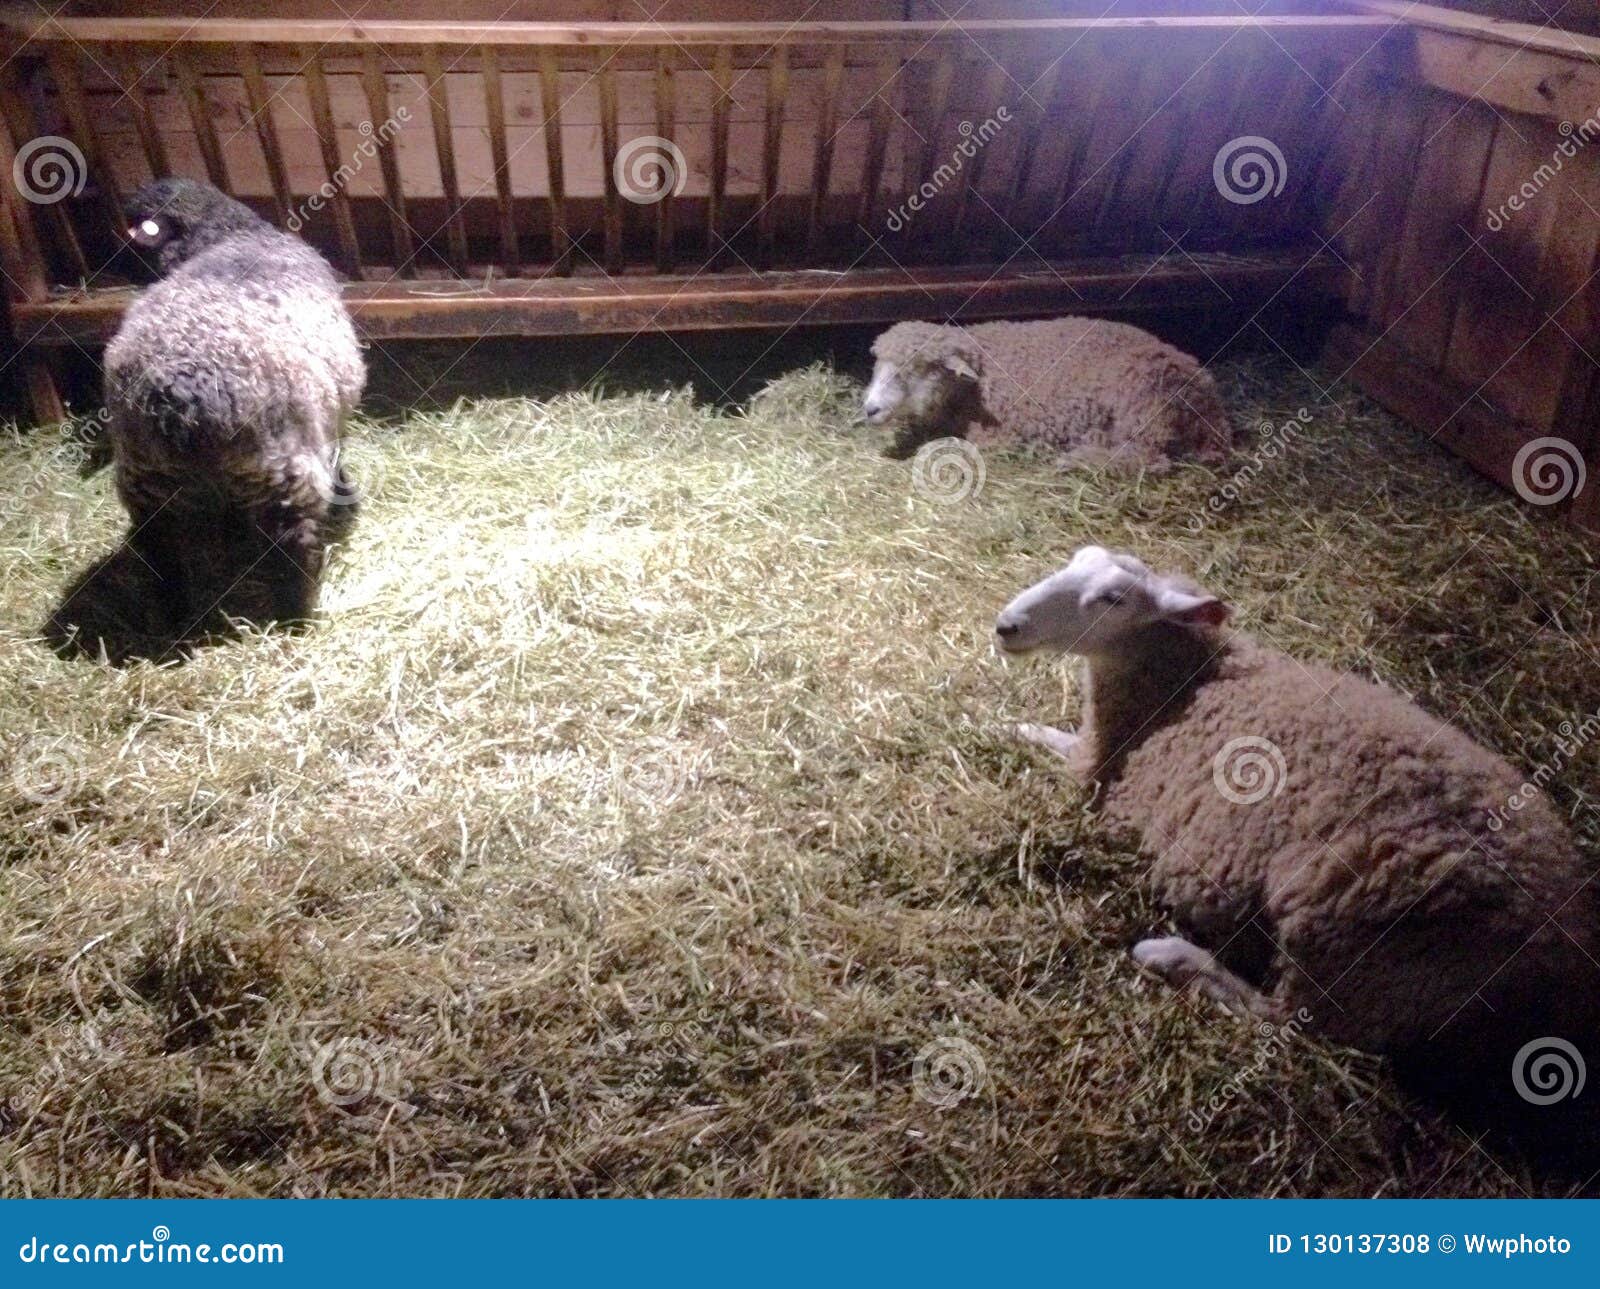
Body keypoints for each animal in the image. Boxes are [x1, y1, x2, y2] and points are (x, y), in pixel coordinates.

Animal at [99, 177, 364, 642]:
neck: (227, 236)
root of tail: (181, 400)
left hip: (150, 483)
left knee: (158, 551)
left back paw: (175, 618)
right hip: (280, 470)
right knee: (292, 545)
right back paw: (298, 616)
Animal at [862, 318, 1233, 466]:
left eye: (917, 368)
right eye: (878, 365)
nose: (869, 409)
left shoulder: (998, 431)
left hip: (1143, 403)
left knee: (1150, 458)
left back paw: (1077, 460)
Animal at [993, 545, 1600, 1102]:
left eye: (1113, 599)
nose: (1006, 626)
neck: (1186, 686)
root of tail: (1565, 965)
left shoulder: (1102, 788)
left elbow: (1052, 746)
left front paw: (1005, 726)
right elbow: (1040, 733)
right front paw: (1002, 722)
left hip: (1349, 934)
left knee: (1289, 1020)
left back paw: (1172, 957)